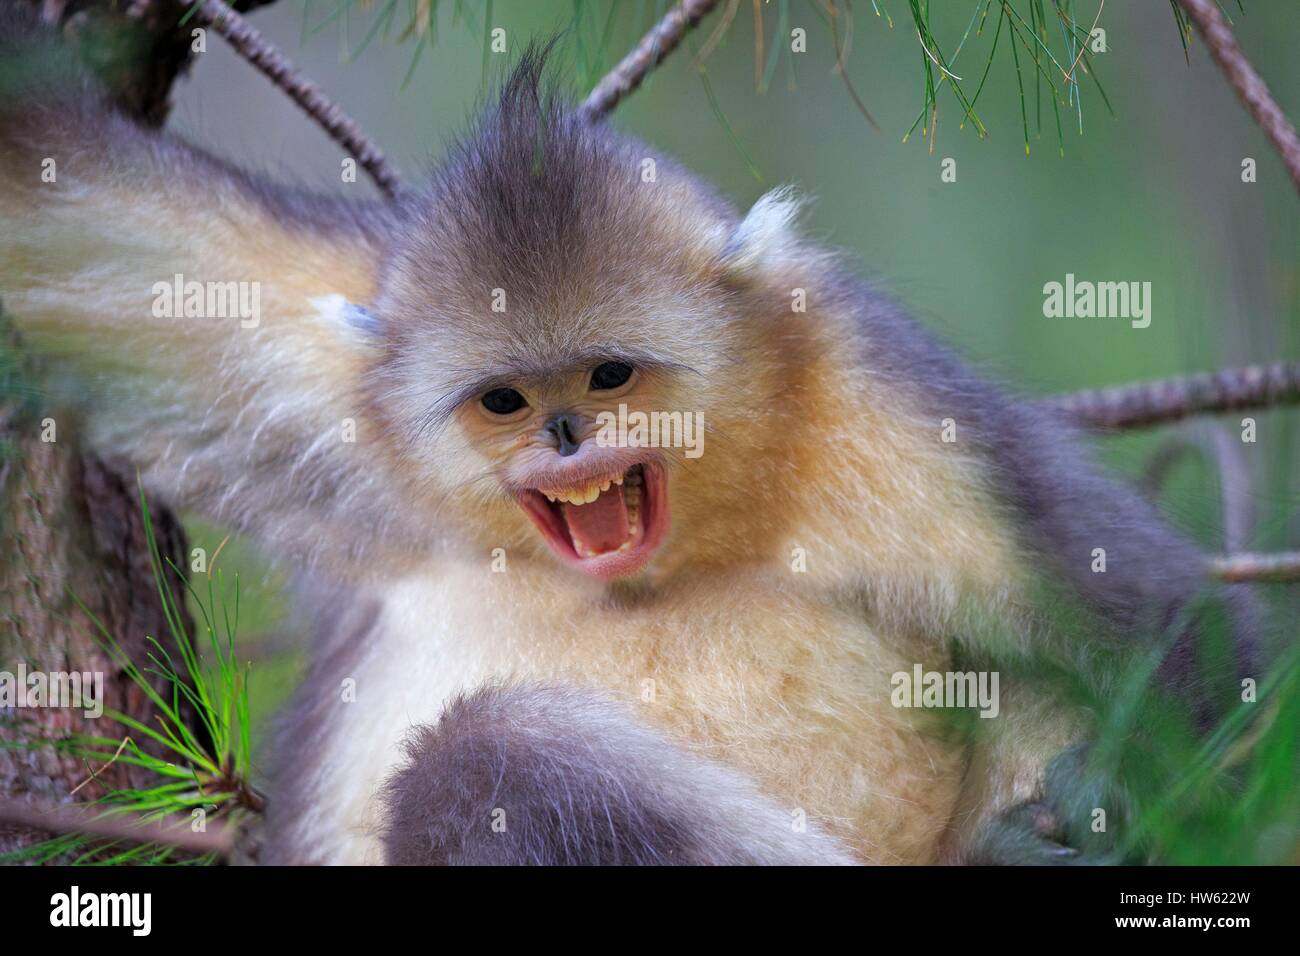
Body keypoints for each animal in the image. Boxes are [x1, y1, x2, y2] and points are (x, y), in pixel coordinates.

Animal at [0, 4, 1261, 865]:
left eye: (608, 374)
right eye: (504, 399)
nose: (565, 432)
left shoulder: (880, 408)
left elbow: (1186, 648)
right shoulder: (335, 365)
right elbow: (58, 223)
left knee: (481, 759)